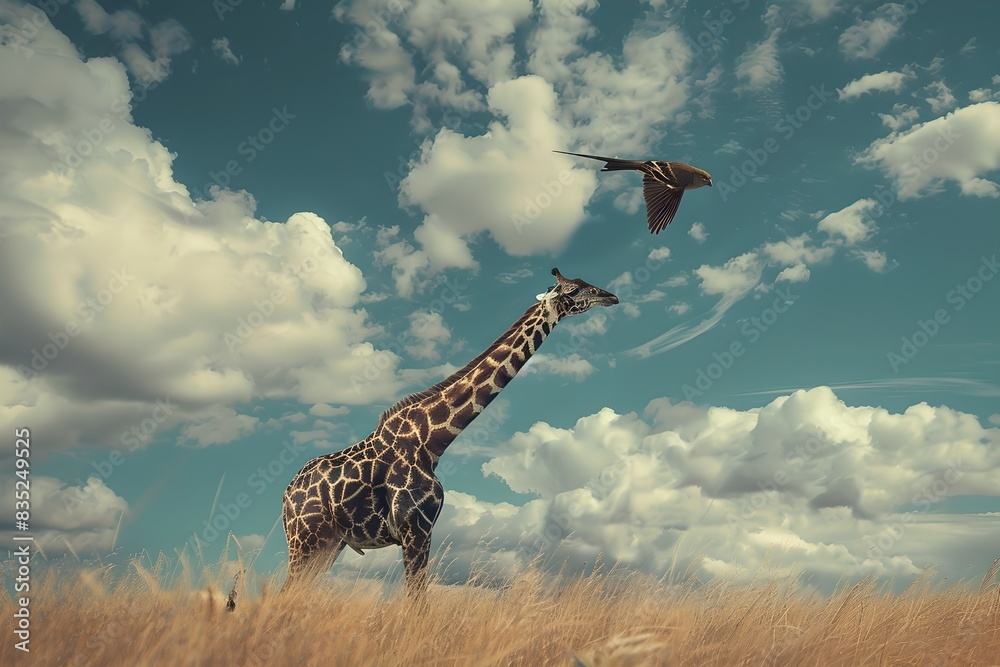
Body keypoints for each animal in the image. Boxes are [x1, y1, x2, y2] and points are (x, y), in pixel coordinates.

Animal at [279, 268, 618, 597]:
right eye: (574, 290)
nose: (611, 297)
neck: (431, 440)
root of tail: (285, 498)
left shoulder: (419, 532)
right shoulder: (416, 529)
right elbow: (417, 600)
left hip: (328, 543)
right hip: (306, 538)